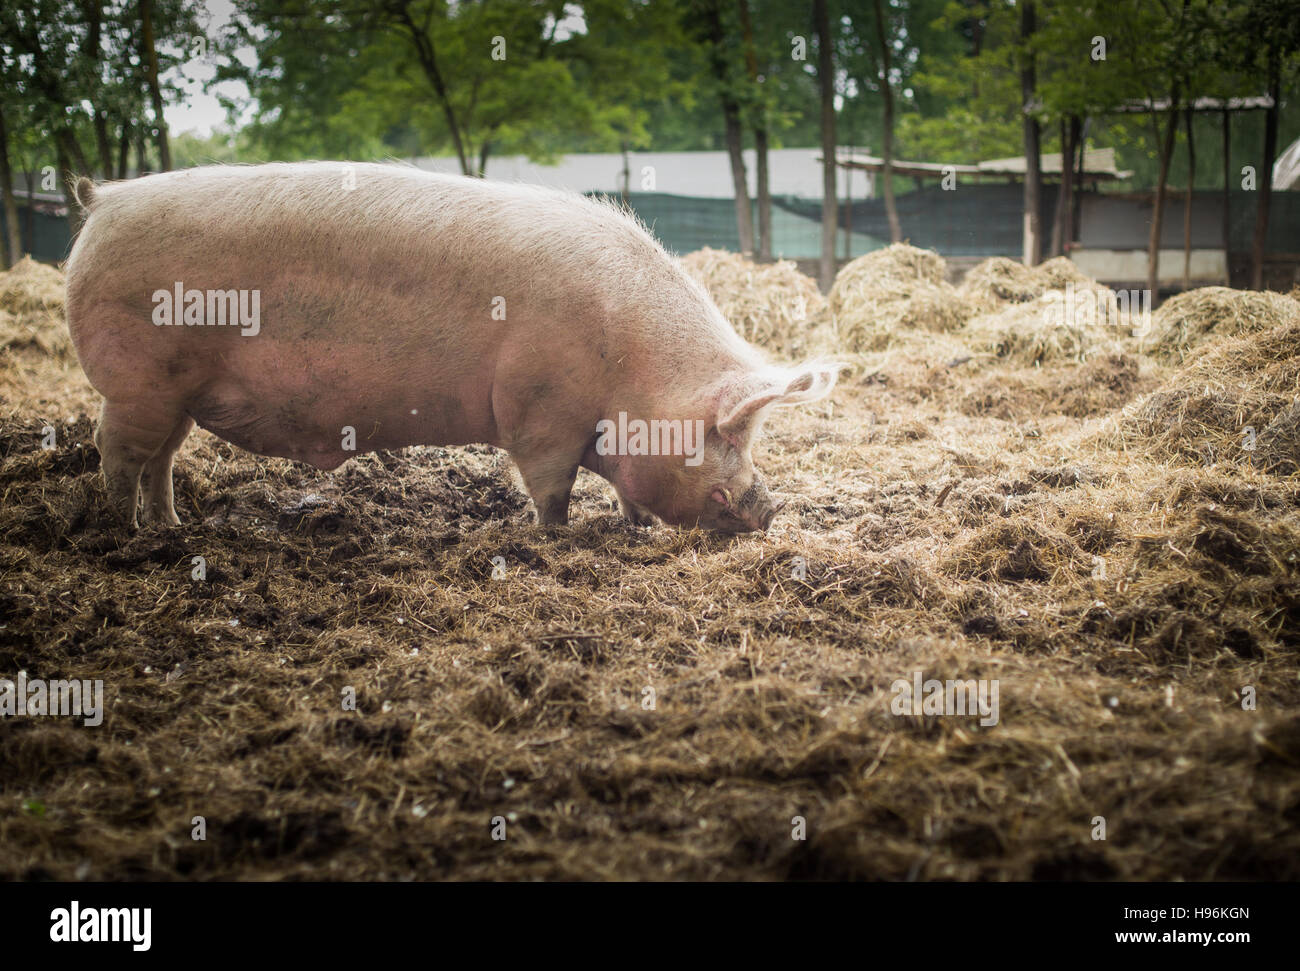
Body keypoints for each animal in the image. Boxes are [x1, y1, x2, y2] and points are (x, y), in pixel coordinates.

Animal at [65, 162, 842, 534]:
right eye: (728, 436)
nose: (770, 510)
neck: (634, 373)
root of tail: (102, 201)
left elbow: (624, 490)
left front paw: (633, 528)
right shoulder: (540, 413)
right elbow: (551, 487)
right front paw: (557, 539)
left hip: (176, 395)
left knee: (161, 459)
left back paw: (171, 527)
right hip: (137, 382)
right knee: (117, 451)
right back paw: (125, 534)